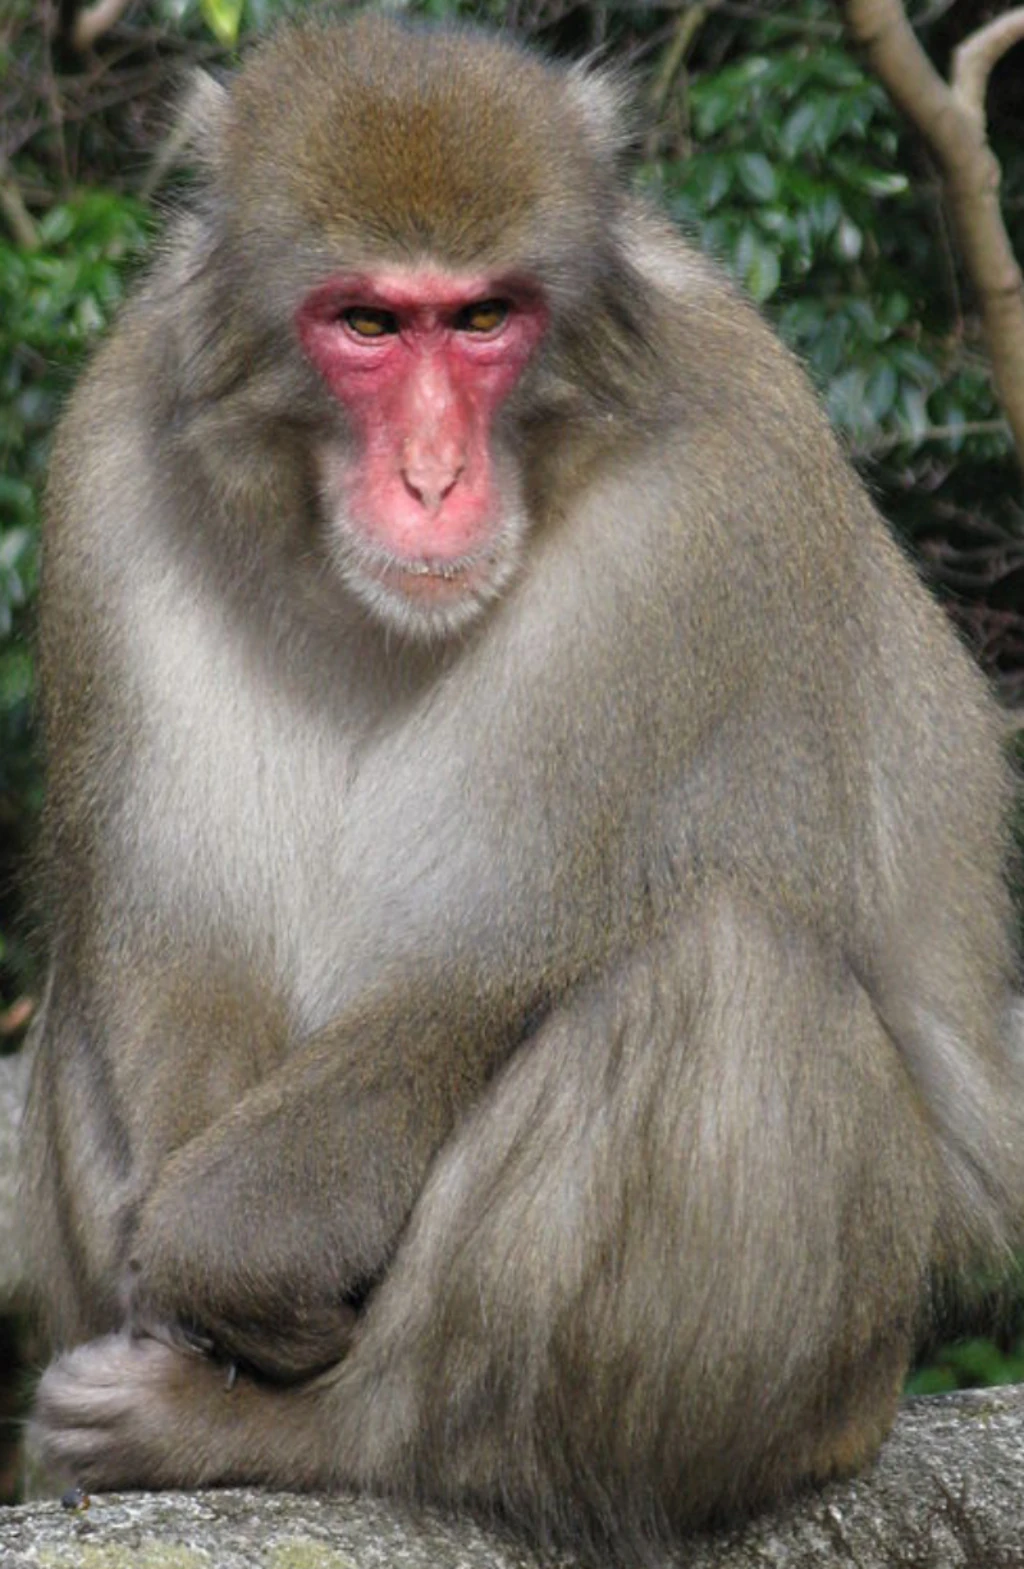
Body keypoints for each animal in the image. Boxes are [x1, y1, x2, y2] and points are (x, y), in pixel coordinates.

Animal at [20, 12, 1024, 1563]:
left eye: (485, 319)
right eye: (370, 325)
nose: (435, 479)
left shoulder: (705, 509)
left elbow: (480, 967)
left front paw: (223, 1270)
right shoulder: (112, 472)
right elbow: (170, 941)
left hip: (836, 1395)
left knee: (727, 976)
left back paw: (306, 1435)